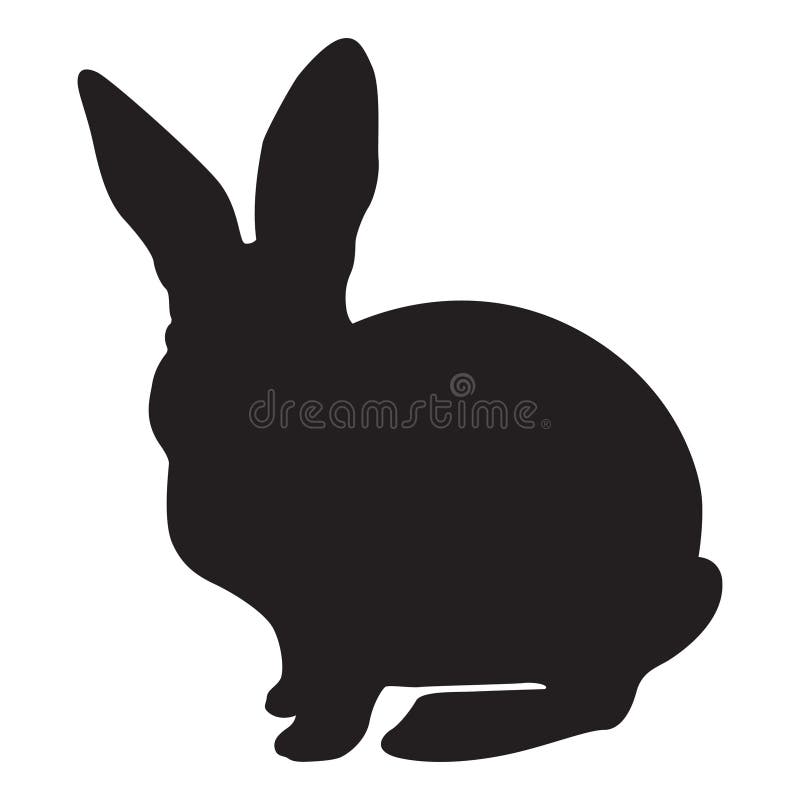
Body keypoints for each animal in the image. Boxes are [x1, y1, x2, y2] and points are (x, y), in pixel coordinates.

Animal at [78, 38, 722, 762]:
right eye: (174, 335)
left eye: (309, 330)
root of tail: (689, 572)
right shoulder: (296, 628)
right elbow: (298, 663)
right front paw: (281, 703)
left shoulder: (346, 613)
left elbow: (346, 684)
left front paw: (307, 747)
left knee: (599, 700)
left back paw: (433, 732)